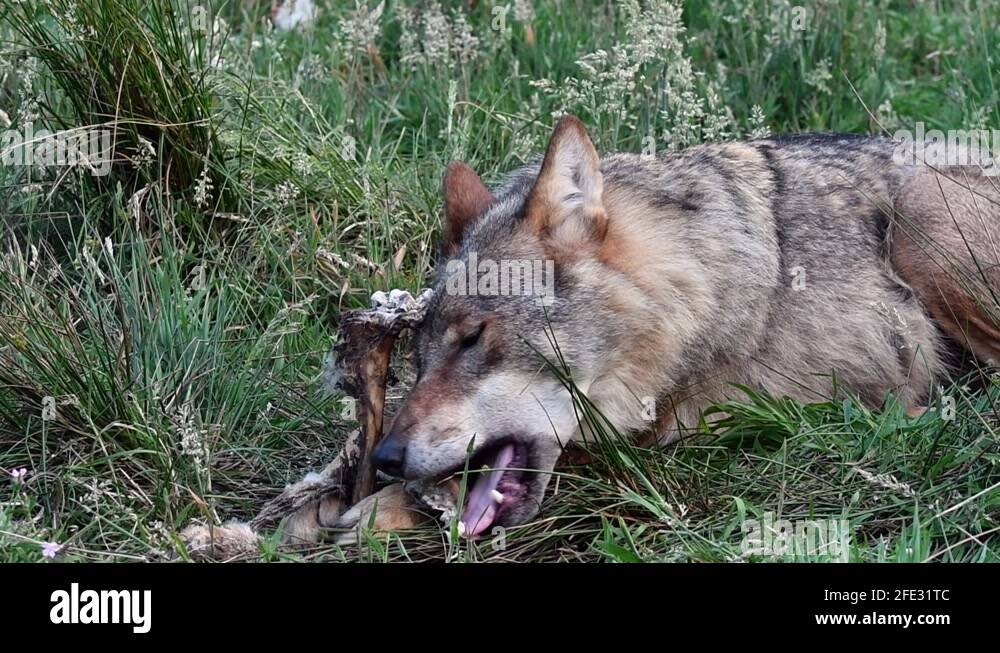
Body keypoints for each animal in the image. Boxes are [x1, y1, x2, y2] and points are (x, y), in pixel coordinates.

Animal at [346, 116, 1000, 539]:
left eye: (474, 338)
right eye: (420, 360)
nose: (386, 457)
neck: (692, 278)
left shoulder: (690, 427)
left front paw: (374, 510)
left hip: (923, 218)